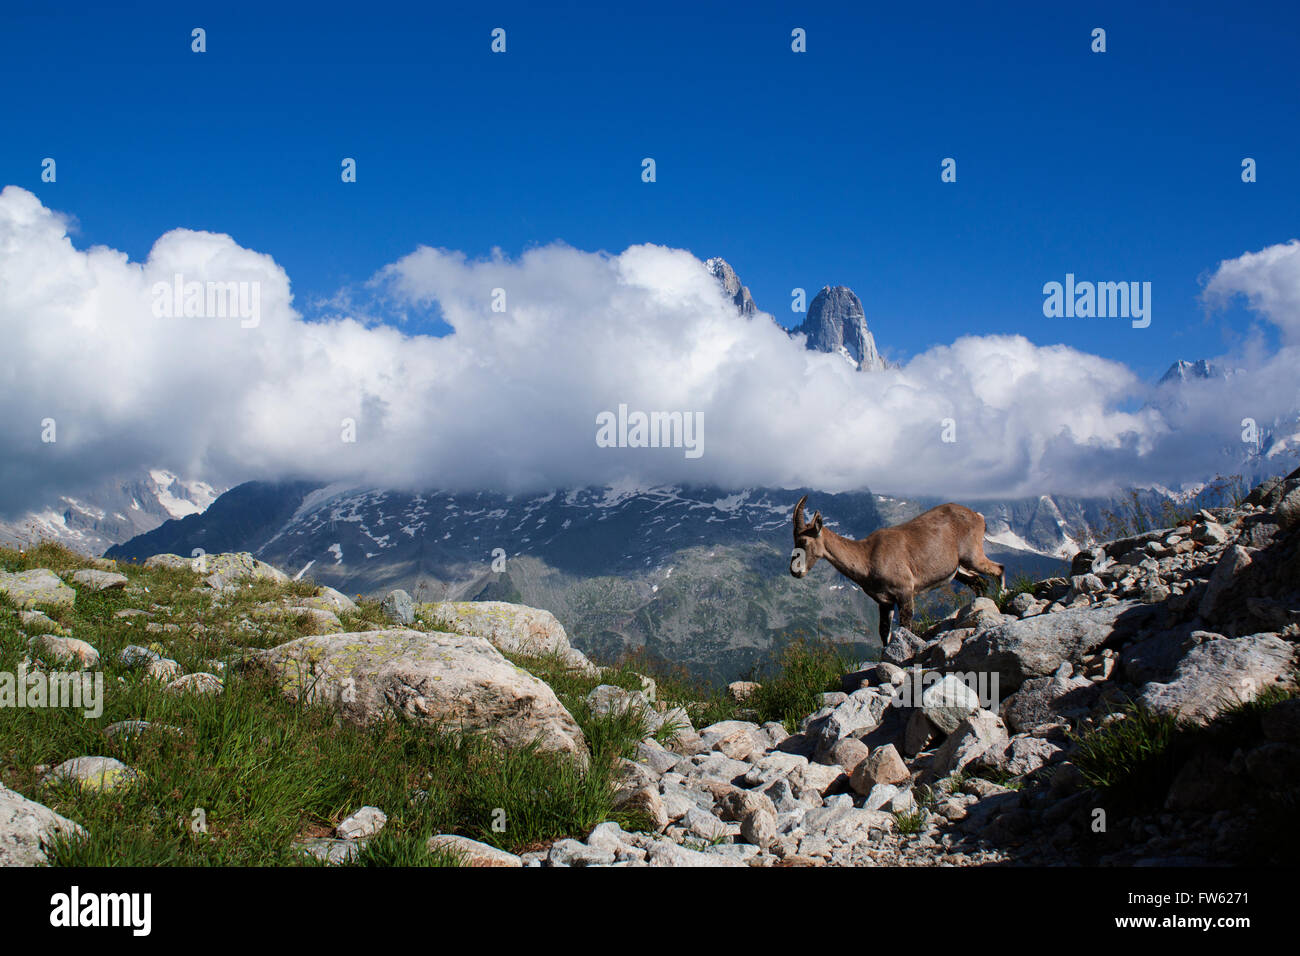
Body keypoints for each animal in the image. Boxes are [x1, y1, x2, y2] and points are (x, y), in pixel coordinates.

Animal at [789, 495, 1004, 642]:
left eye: (804, 541)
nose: (794, 571)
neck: (868, 557)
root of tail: (978, 517)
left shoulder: (905, 591)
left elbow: (905, 627)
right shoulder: (884, 601)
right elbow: (884, 632)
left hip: (972, 555)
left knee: (999, 568)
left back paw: (1001, 598)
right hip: (958, 569)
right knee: (979, 582)